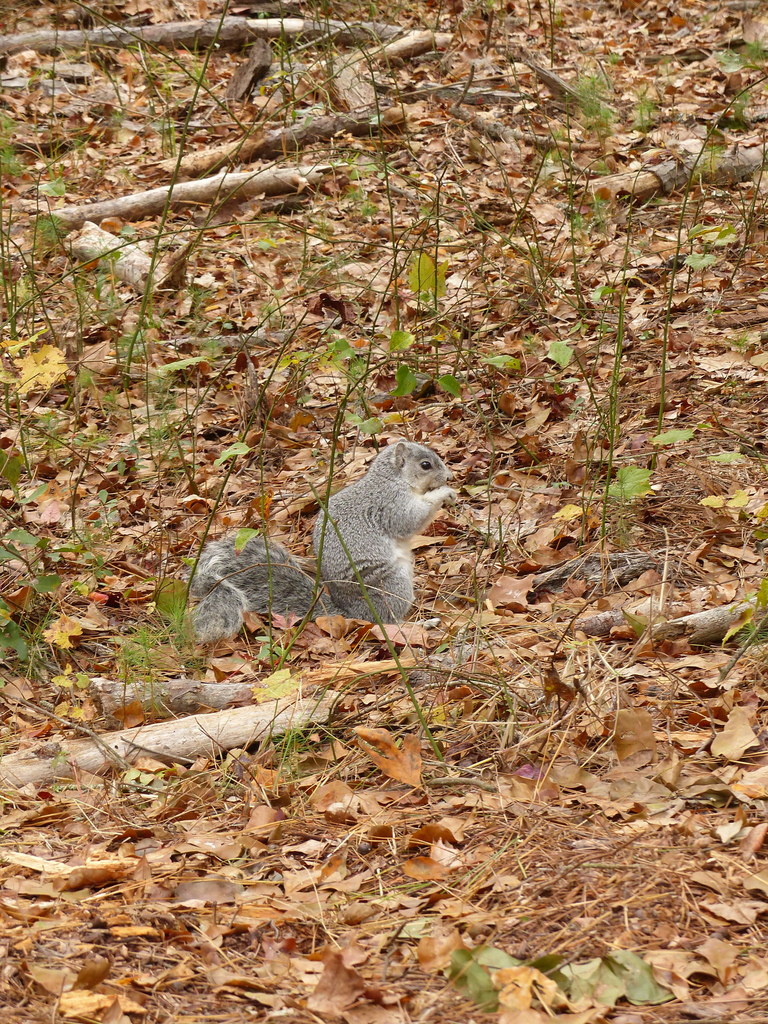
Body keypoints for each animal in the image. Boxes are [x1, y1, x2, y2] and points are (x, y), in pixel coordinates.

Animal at [188, 441, 456, 643]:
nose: (449, 476)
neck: (392, 479)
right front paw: (444, 493)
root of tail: (351, 613)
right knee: (388, 621)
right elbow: (409, 520)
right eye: (425, 465)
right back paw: (422, 623)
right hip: (392, 585)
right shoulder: (389, 503)